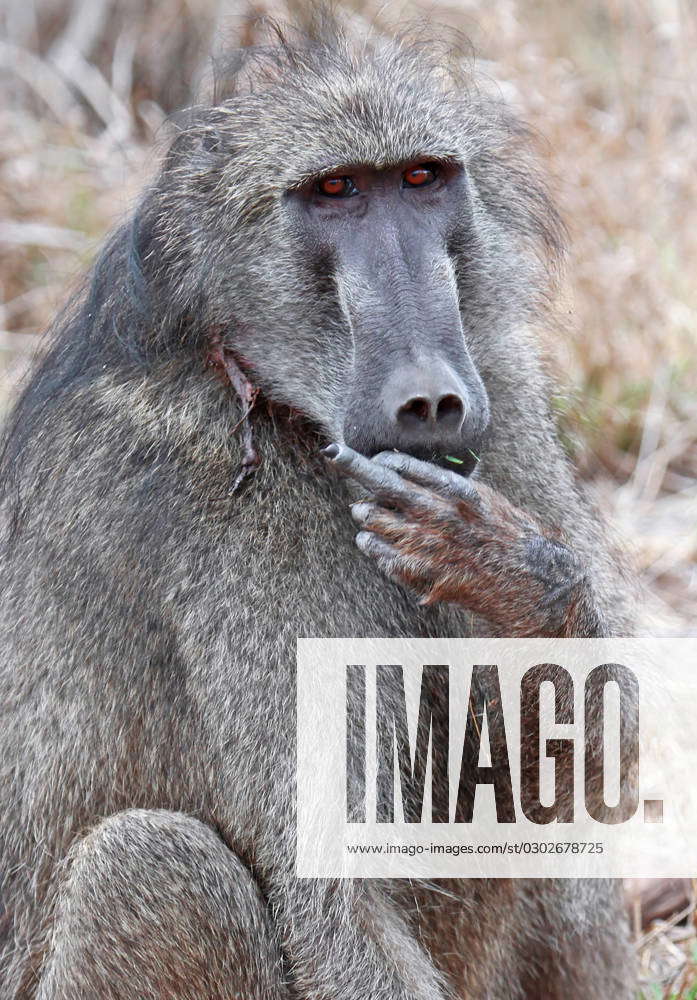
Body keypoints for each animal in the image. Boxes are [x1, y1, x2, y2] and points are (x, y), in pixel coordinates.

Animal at [0, 12, 637, 1000]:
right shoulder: (231, 524)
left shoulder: (505, 388)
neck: (270, 397)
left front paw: (506, 572)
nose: (431, 399)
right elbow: (335, 895)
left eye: (420, 179)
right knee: (152, 861)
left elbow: (597, 748)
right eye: (334, 192)